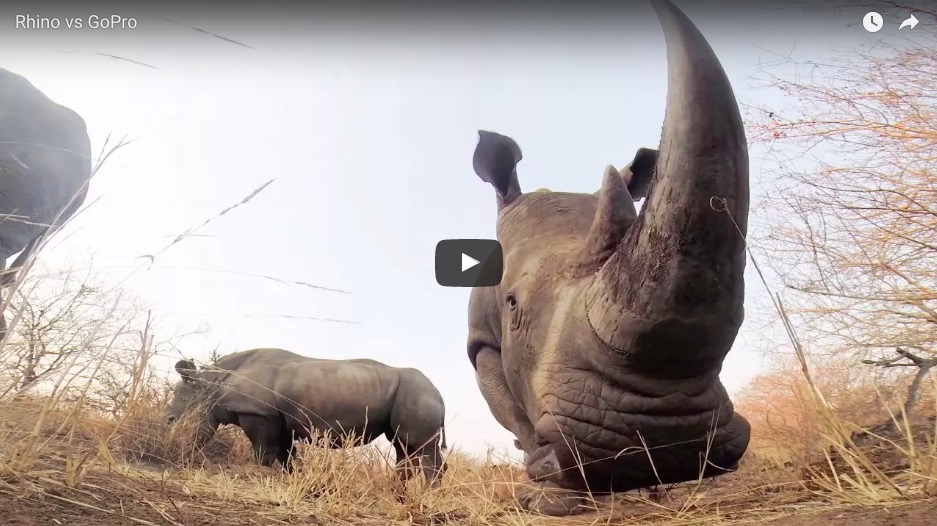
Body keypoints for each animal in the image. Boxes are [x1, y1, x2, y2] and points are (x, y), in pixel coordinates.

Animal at [166, 348, 448, 485]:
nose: (167, 420)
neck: (211, 382)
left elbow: (264, 452)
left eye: (175, 417)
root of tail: (440, 394)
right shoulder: (278, 419)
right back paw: (396, 494)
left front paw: (260, 475)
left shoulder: (259, 413)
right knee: (404, 447)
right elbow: (286, 455)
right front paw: (292, 477)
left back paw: (426, 497)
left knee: (420, 448)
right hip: (411, 393)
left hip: (418, 393)